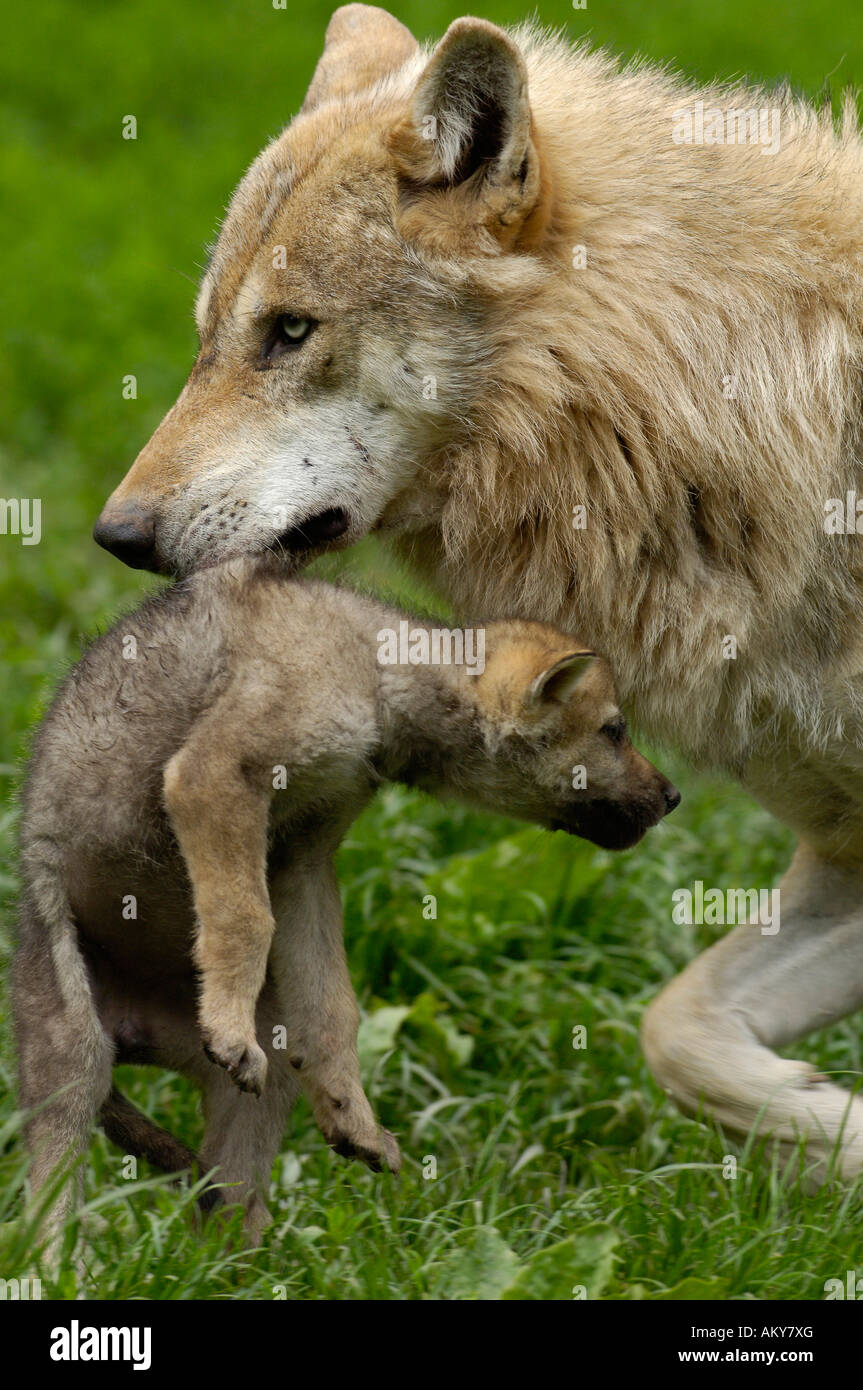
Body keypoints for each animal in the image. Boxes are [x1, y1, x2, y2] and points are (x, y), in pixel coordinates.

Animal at [15, 556, 678, 1243]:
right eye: (614, 730)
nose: (675, 797)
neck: (378, 679)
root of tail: (135, 1030)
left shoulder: (303, 858)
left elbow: (334, 1005)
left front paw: (354, 1119)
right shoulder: (215, 776)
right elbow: (243, 918)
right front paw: (227, 1025)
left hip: (264, 1081)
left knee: (228, 1202)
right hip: (75, 1056)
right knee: (48, 1207)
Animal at [93, 7, 863, 1173]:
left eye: (289, 331)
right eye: (206, 338)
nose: (116, 534)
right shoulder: (843, 850)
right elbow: (676, 1030)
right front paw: (830, 1131)